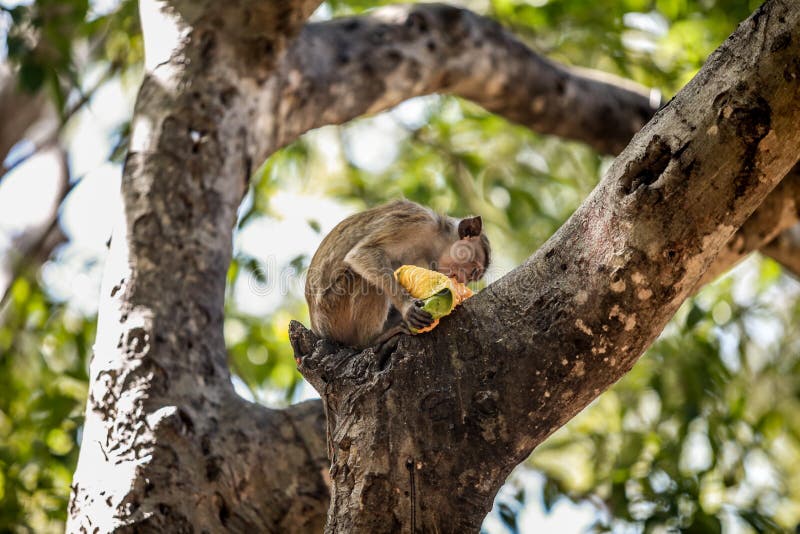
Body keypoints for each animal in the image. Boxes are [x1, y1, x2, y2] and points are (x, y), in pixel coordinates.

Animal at [304, 199, 491, 349]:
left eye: (472, 278)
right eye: (473, 270)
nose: (462, 280)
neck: (436, 240)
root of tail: (317, 327)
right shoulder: (417, 223)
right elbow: (362, 253)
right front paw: (408, 306)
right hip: (333, 310)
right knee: (366, 281)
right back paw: (370, 339)